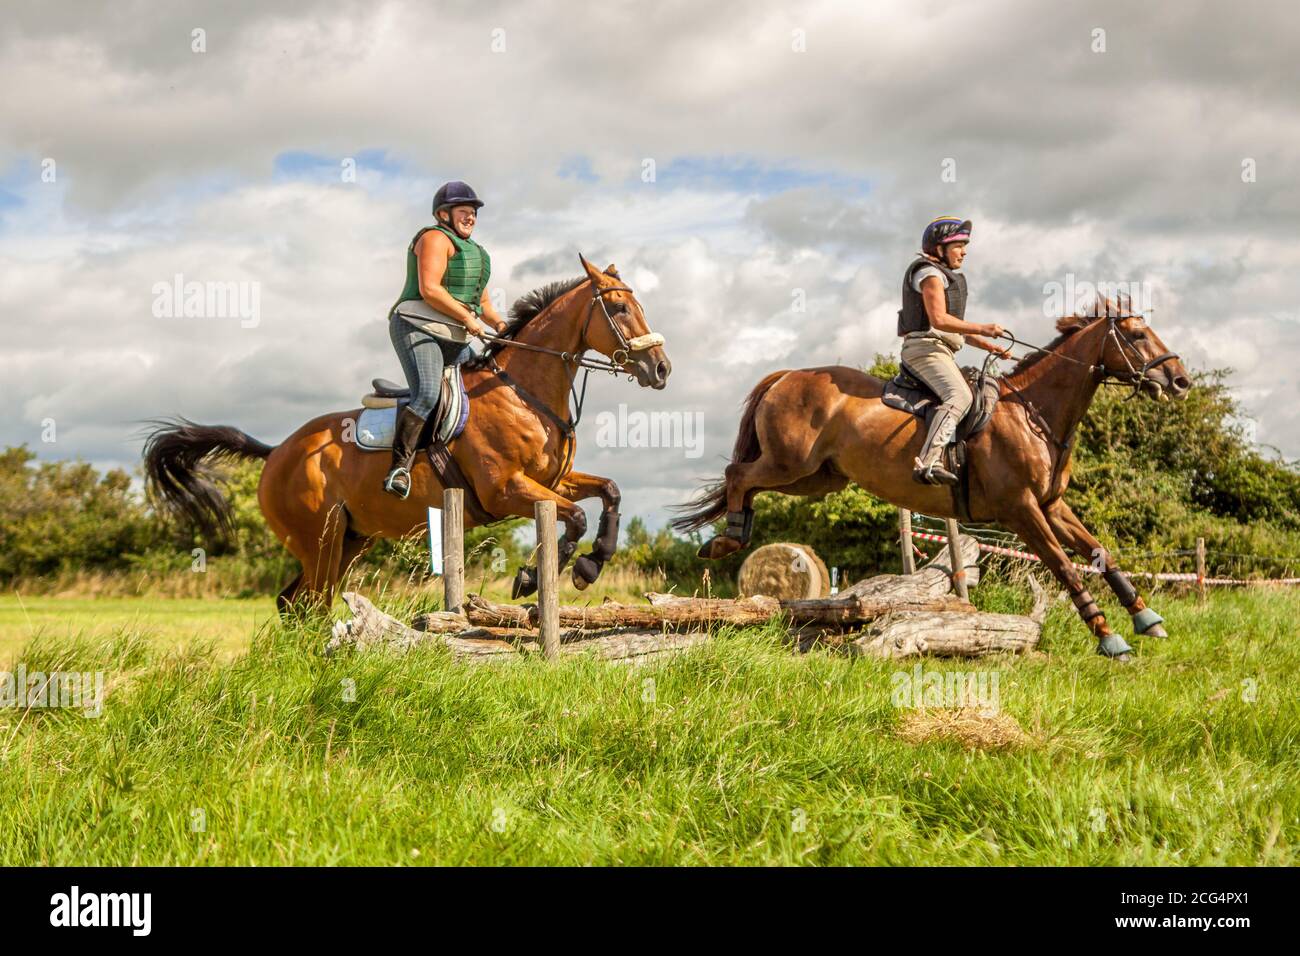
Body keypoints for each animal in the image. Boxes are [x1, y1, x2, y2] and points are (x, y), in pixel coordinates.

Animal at [144, 255, 672, 615]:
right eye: (620, 308)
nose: (661, 368)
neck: (524, 391)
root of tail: (276, 452)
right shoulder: (505, 490)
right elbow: (575, 519)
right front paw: (539, 576)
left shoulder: (551, 481)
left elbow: (609, 492)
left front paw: (591, 563)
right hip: (320, 542)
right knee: (310, 604)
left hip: (349, 540)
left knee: (293, 604)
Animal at [673, 299, 1190, 661]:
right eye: (1138, 334)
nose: (1181, 380)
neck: (1034, 414)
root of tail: (787, 375)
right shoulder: (1021, 510)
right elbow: (1066, 567)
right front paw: (1110, 639)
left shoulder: (1050, 505)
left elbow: (1101, 553)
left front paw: (1146, 617)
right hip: (791, 463)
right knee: (738, 473)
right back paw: (728, 539)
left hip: (816, 478)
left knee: (748, 484)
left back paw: (729, 535)